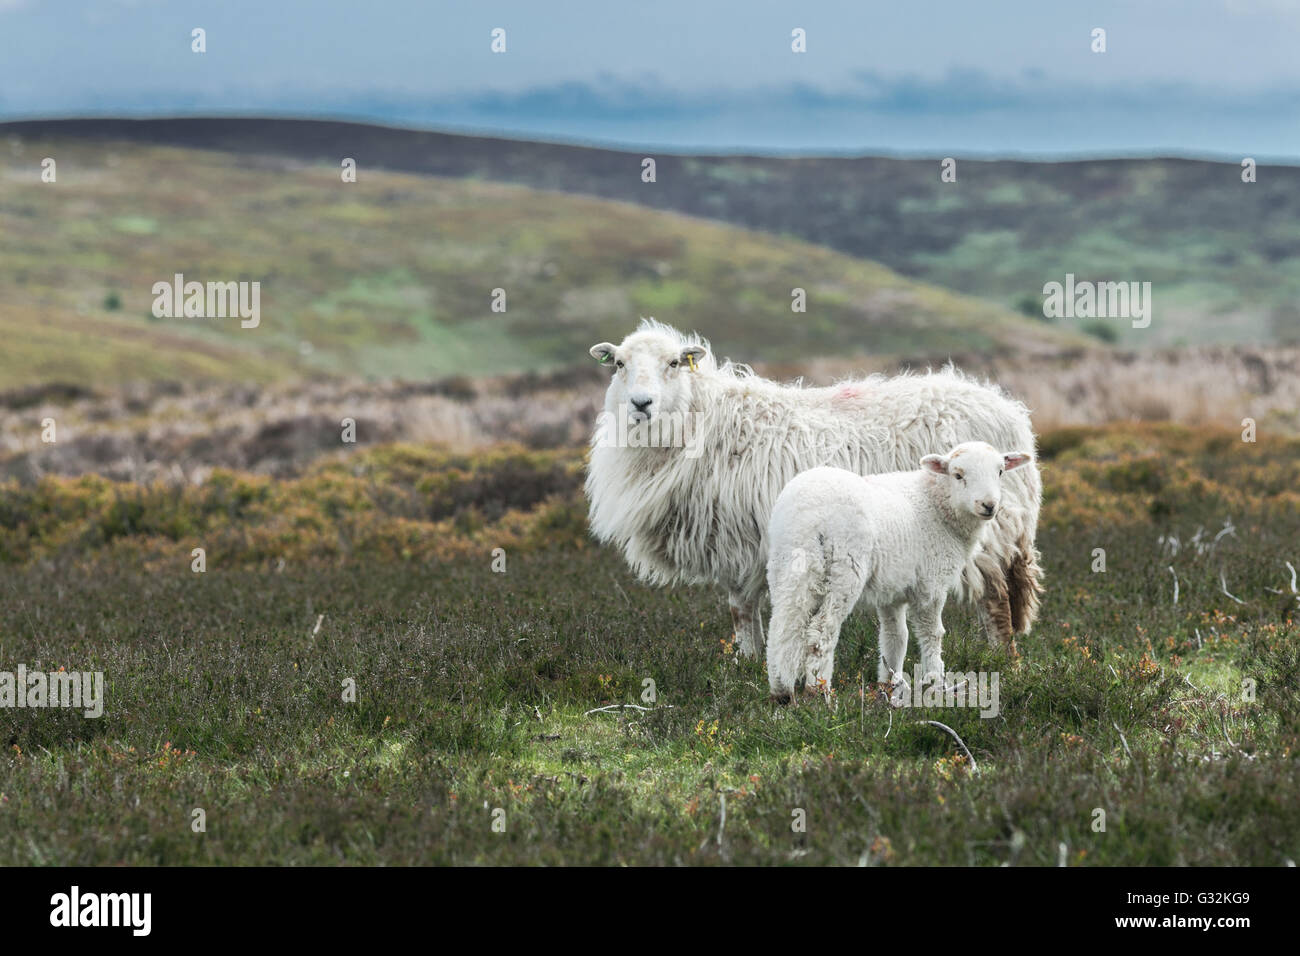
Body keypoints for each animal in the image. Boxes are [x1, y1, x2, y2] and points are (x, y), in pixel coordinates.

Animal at [584, 318, 1043, 656]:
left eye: (674, 363)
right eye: (619, 364)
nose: (641, 404)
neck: (704, 421)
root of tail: (1010, 411)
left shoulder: (738, 540)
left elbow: (740, 609)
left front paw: (746, 665)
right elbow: (746, 612)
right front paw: (750, 661)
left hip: (989, 528)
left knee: (996, 600)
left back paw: (1003, 662)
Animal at [765, 442, 1034, 702]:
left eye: (1000, 472)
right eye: (958, 475)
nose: (989, 505)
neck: (937, 505)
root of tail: (809, 515)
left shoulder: (890, 590)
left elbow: (894, 636)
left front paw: (888, 685)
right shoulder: (931, 583)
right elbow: (931, 634)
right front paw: (936, 683)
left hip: (788, 563)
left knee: (784, 626)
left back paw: (782, 691)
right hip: (844, 568)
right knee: (822, 630)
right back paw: (819, 691)